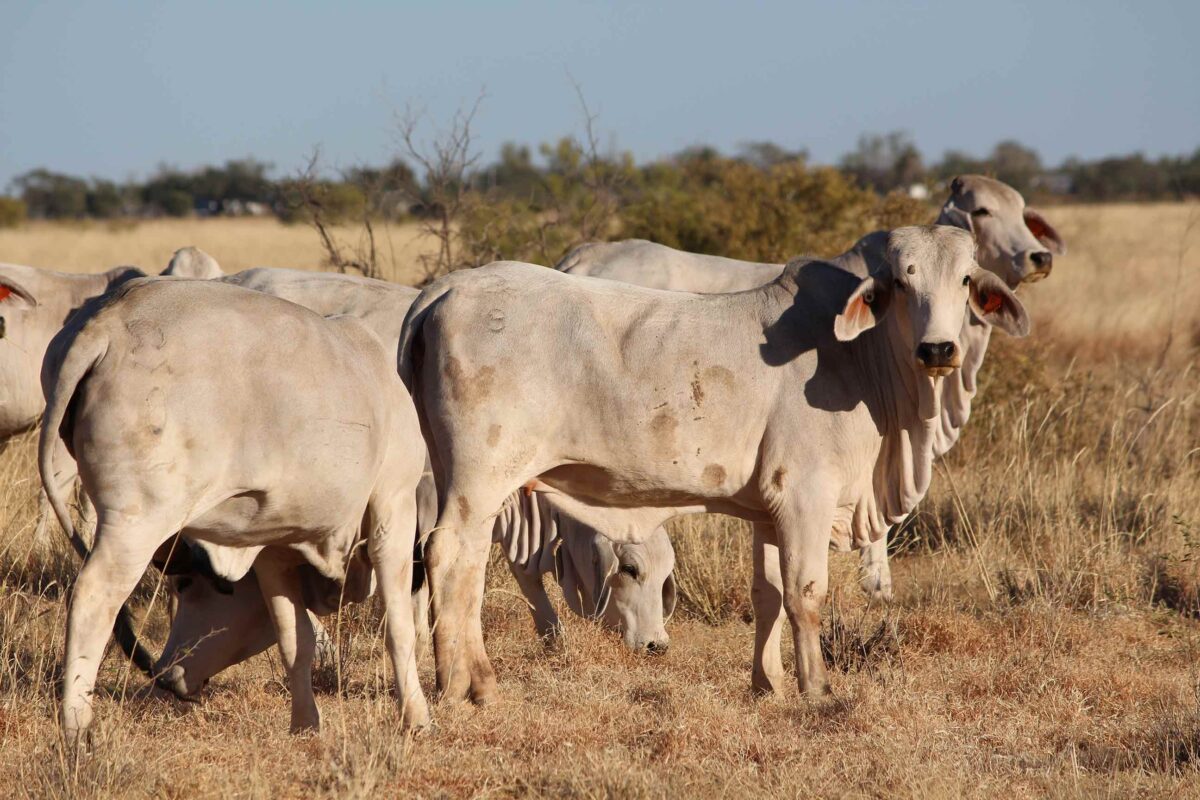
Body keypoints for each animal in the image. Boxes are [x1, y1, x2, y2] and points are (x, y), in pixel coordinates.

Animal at [40, 278, 430, 738]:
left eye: (185, 586)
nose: (169, 677)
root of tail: (106, 322)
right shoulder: (394, 505)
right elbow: (399, 627)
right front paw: (417, 716)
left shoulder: (275, 551)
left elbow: (294, 640)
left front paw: (305, 724)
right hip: (137, 522)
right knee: (92, 597)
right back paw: (76, 724)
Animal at [399, 225, 1029, 706]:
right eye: (902, 281)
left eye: (966, 280)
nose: (938, 349)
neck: (860, 360)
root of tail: (444, 289)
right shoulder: (805, 494)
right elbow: (806, 593)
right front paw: (816, 689)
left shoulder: (768, 512)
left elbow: (768, 594)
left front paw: (768, 685)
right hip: (482, 477)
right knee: (451, 556)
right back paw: (464, 687)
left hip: (464, 477)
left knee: (467, 566)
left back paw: (471, 680)